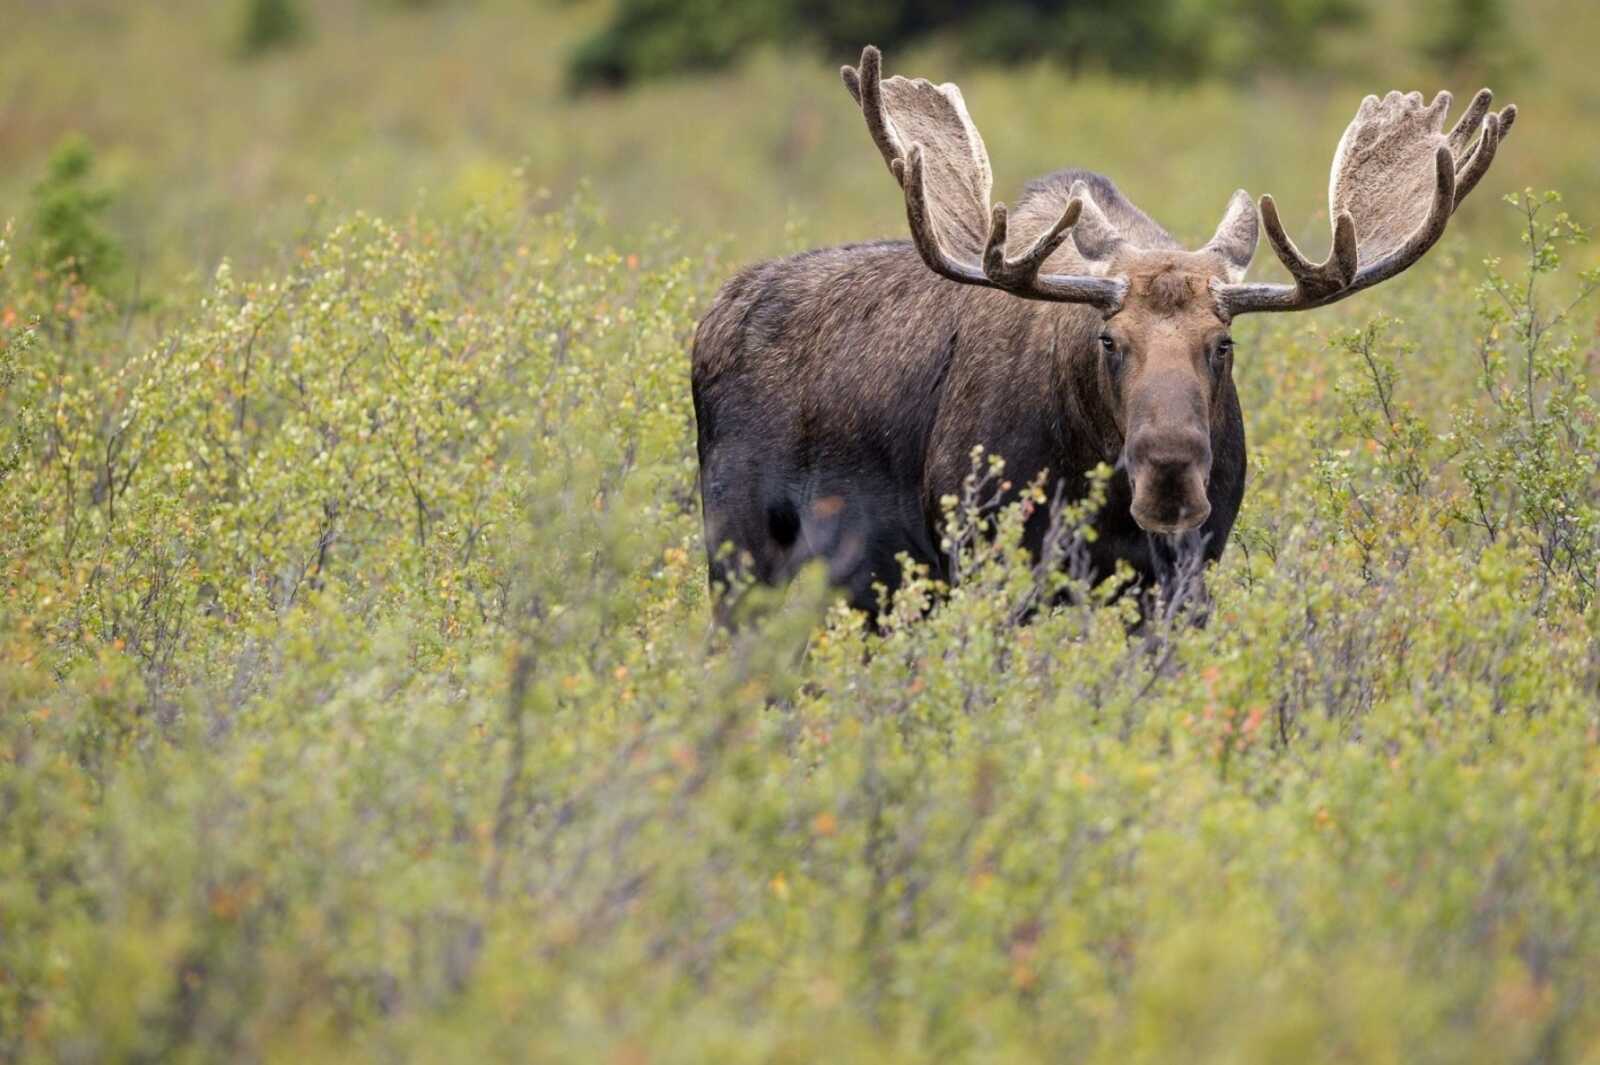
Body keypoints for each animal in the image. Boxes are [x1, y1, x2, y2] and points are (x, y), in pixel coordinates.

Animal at [690, 45, 1515, 620]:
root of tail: (710, 318)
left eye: (1223, 344)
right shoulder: (991, 559)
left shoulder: (1182, 575)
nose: (1170, 470)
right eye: (1109, 340)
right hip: (740, 555)